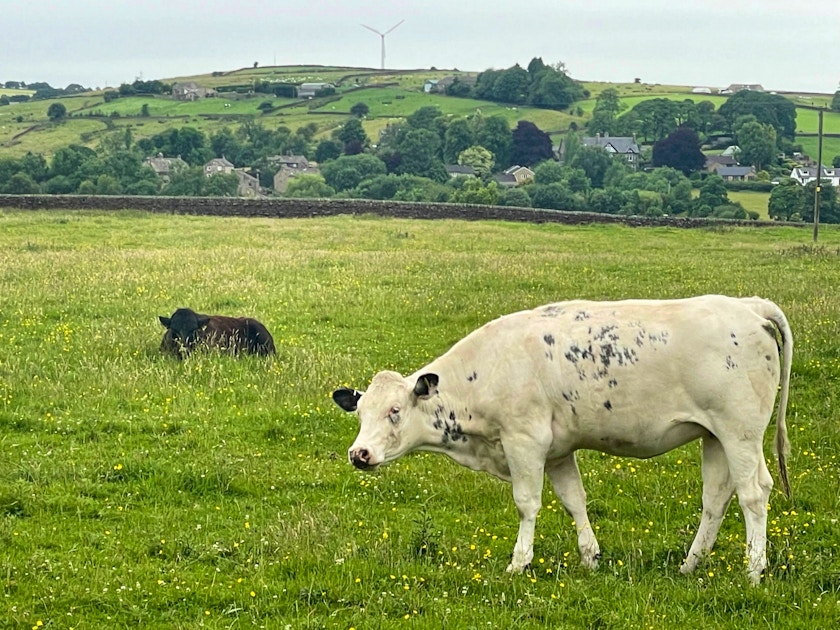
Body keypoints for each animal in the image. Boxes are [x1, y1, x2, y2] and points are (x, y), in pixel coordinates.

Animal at [332, 295, 792, 585]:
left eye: (395, 411)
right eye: (360, 412)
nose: (359, 453)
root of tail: (748, 305)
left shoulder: (525, 441)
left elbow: (527, 504)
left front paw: (519, 563)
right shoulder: (556, 451)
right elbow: (575, 500)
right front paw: (590, 557)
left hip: (740, 432)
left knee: (754, 493)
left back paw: (754, 570)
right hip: (714, 436)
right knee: (716, 498)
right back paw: (690, 566)